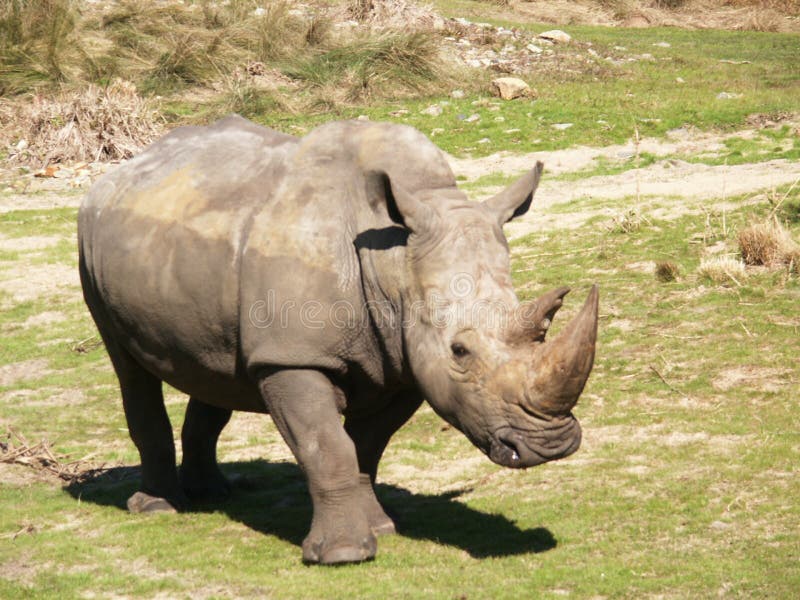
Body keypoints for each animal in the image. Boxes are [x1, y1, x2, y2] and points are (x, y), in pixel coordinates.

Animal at [78, 116, 598, 564]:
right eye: (460, 351)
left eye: (543, 329)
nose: (549, 447)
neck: (393, 262)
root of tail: (123, 167)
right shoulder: (293, 357)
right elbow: (326, 446)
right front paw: (344, 555)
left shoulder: (403, 358)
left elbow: (366, 446)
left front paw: (382, 527)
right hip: (89, 243)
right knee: (129, 368)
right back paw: (158, 506)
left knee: (216, 361)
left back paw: (213, 492)